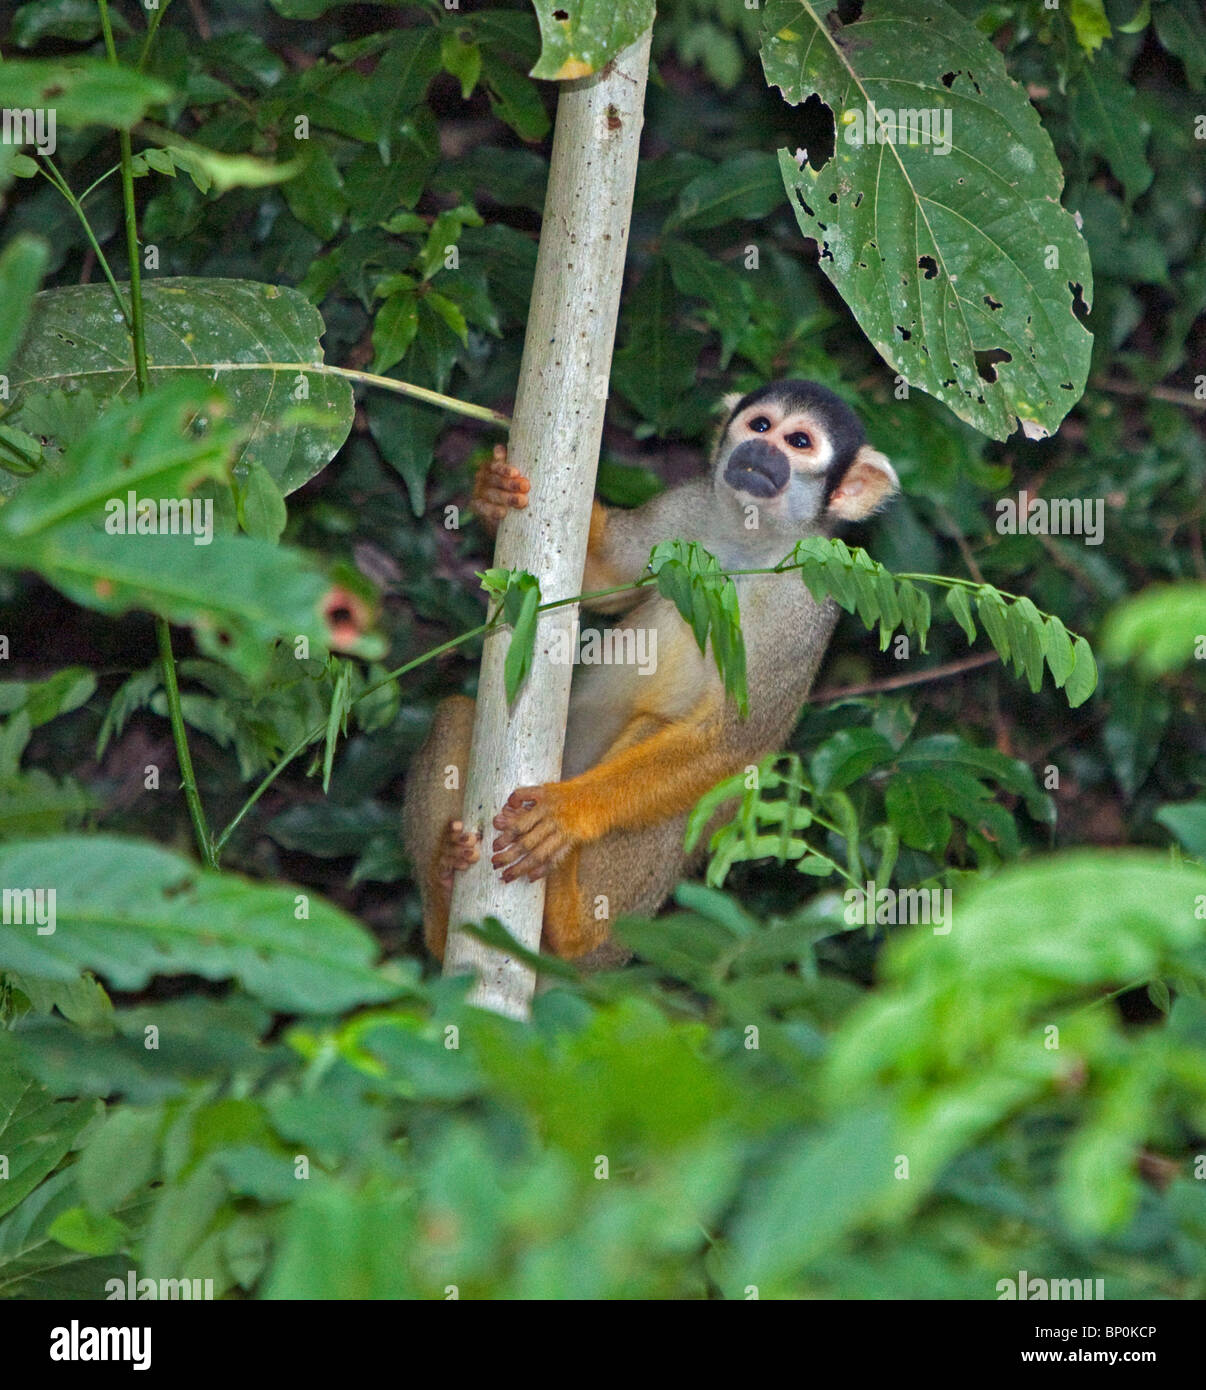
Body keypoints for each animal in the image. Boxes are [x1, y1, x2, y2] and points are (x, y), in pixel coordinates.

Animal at [402, 380, 899, 968]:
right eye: (760, 425)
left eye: (799, 442)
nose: (761, 450)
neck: (750, 540)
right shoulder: (691, 503)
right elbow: (607, 578)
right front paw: (492, 495)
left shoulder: (808, 597)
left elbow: (733, 739)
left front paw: (570, 812)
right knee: (456, 712)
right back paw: (443, 899)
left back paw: (572, 924)